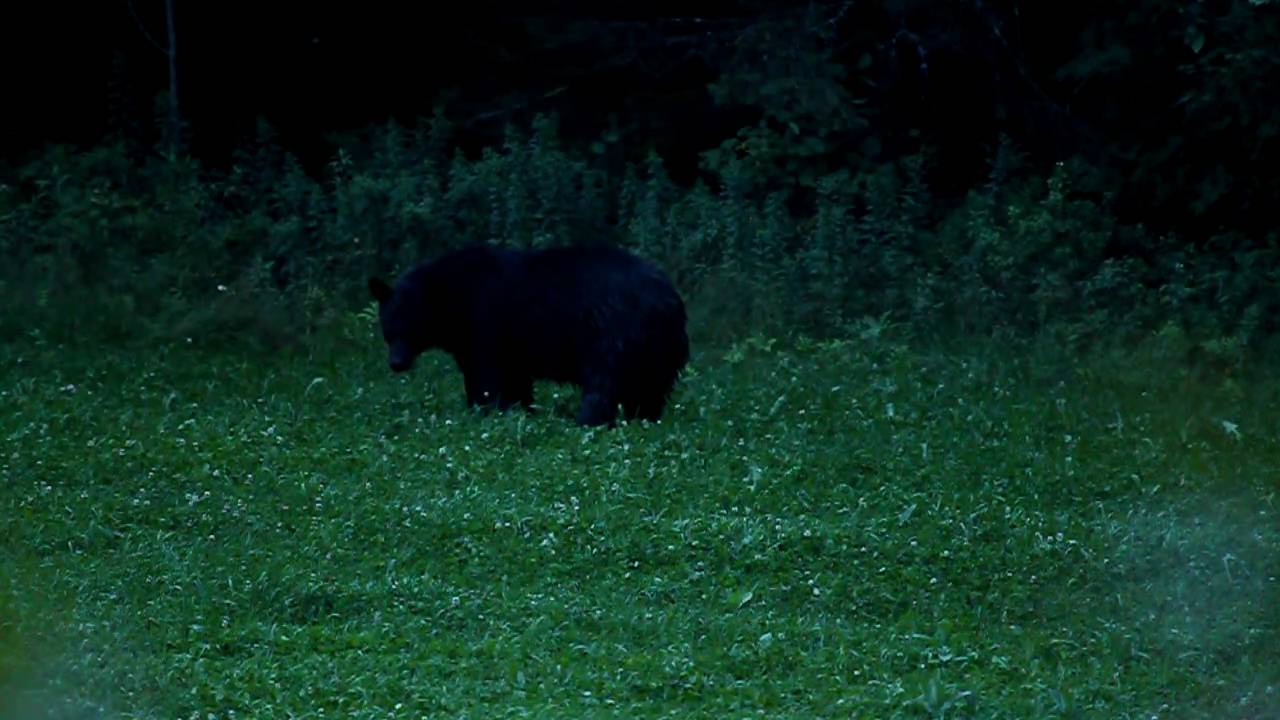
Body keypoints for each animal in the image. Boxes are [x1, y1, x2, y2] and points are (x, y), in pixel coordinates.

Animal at [367, 242, 689, 427]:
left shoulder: (486, 325)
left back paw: (588, 421)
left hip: (613, 334)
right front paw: (519, 411)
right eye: (387, 328)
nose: (396, 363)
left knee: (604, 384)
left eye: (409, 325)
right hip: (657, 350)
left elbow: (487, 376)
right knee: (649, 390)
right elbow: (514, 379)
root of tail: (669, 299)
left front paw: (486, 410)